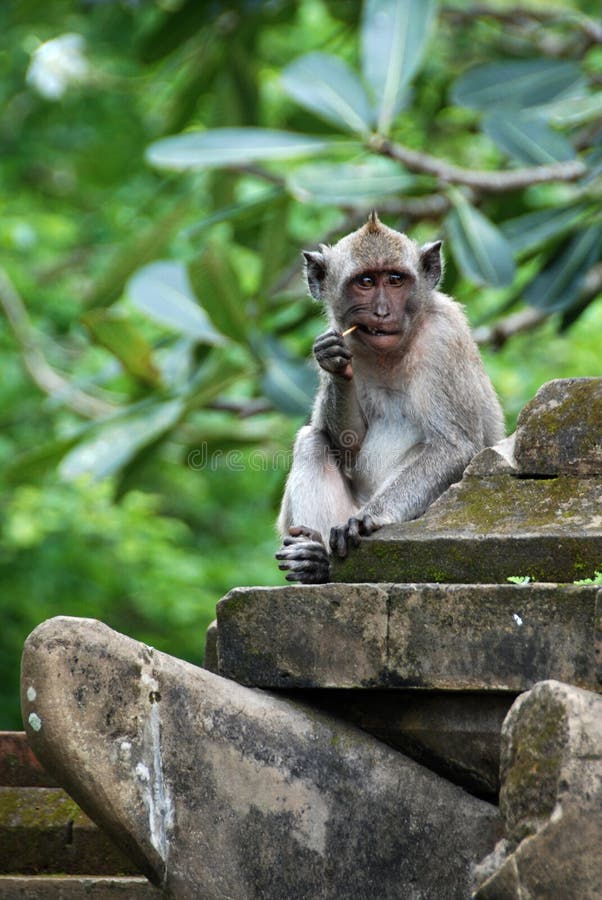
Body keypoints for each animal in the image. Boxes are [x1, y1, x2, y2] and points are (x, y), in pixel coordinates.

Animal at [275, 211, 505, 585]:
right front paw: (334, 364)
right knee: (313, 440)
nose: (382, 311)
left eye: (396, 280)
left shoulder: (445, 338)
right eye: (366, 281)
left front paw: (369, 518)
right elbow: (345, 443)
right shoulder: (341, 335)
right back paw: (313, 561)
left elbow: (454, 446)